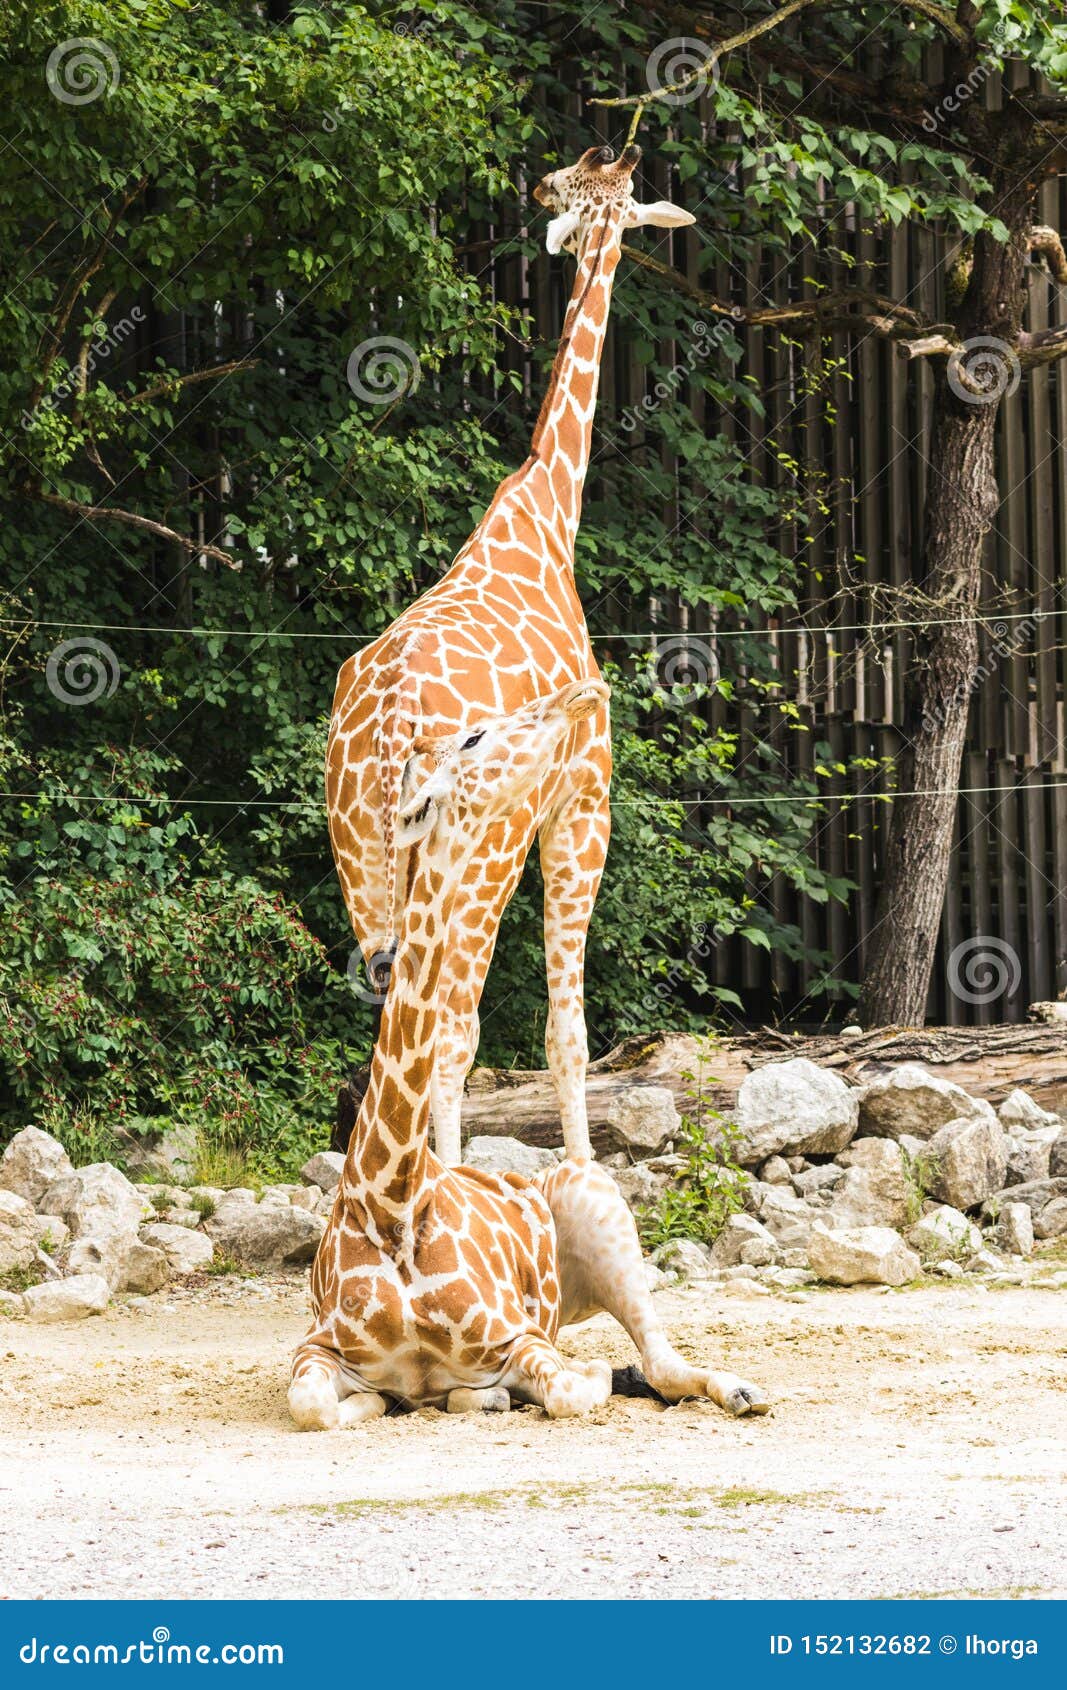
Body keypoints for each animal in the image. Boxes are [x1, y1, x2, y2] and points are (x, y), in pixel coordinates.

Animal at [290, 680, 770, 1428]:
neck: (388, 1200)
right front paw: (391, 1402)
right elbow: (315, 1404)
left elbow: (574, 1389)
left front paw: (563, 1380)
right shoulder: (317, 1345)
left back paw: (742, 1391)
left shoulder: (519, 1336)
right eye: (473, 736)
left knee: (663, 1363)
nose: (583, 692)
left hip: (598, 1202)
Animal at [327, 142, 696, 1165]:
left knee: (402, 1015)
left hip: (365, 862)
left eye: (574, 178)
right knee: (454, 1026)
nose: (536, 187)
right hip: (478, 847)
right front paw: (580, 1170)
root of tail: (392, 724)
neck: (547, 509)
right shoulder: (581, 804)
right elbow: (565, 1031)